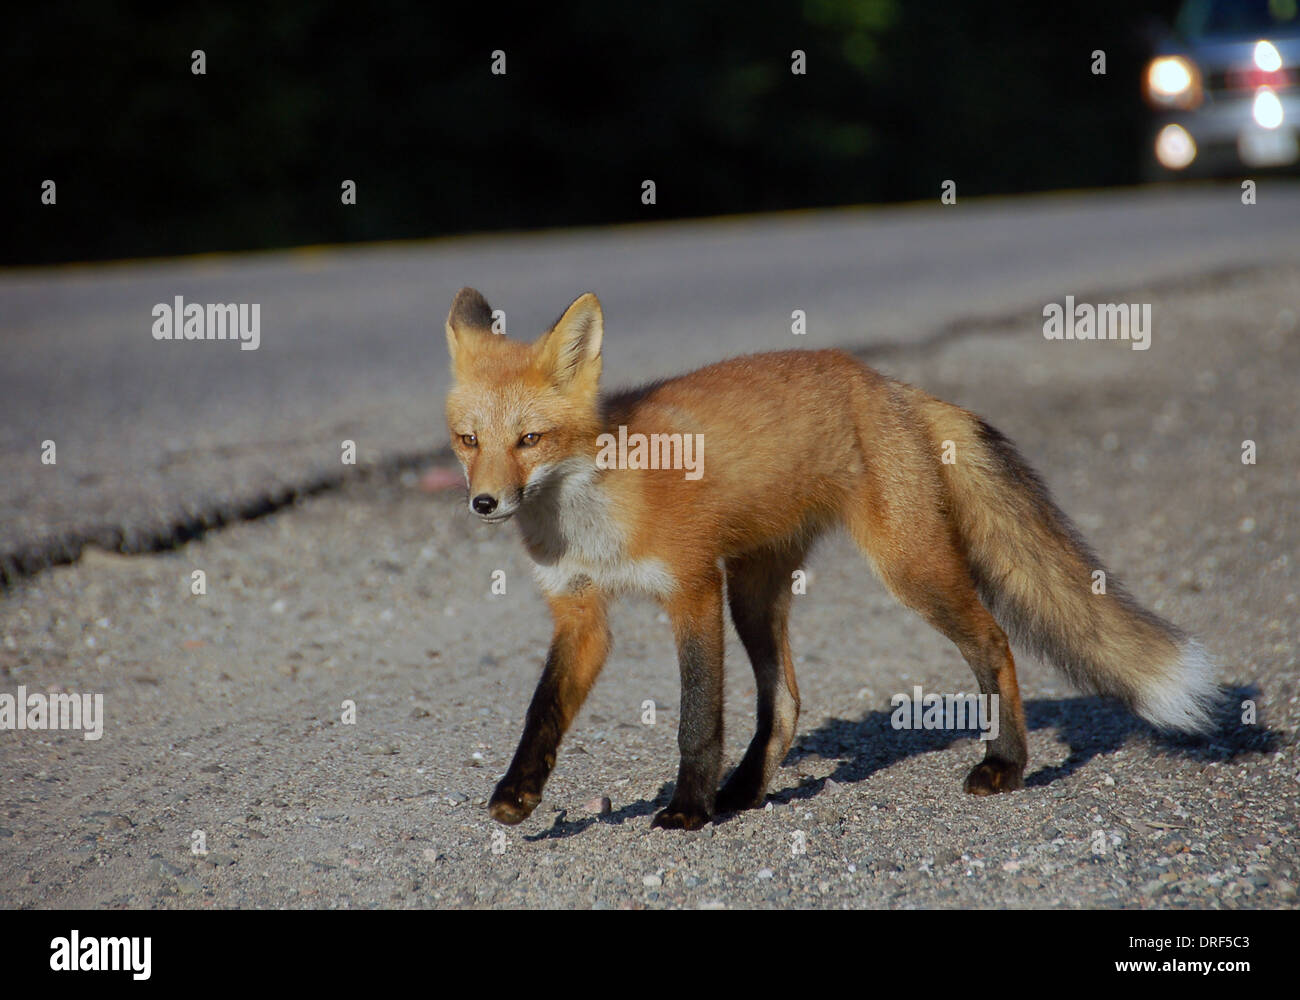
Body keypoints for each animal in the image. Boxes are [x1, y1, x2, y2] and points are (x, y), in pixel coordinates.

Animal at [443, 286, 1219, 831]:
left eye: (531, 439)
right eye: (467, 440)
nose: (484, 503)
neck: (591, 513)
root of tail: (890, 386)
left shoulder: (690, 589)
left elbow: (698, 718)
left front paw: (688, 809)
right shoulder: (581, 615)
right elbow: (541, 713)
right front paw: (518, 794)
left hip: (907, 569)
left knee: (996, 643)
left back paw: (1005, 763)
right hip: (756, 592)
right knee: (785, 701)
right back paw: (743, 790)